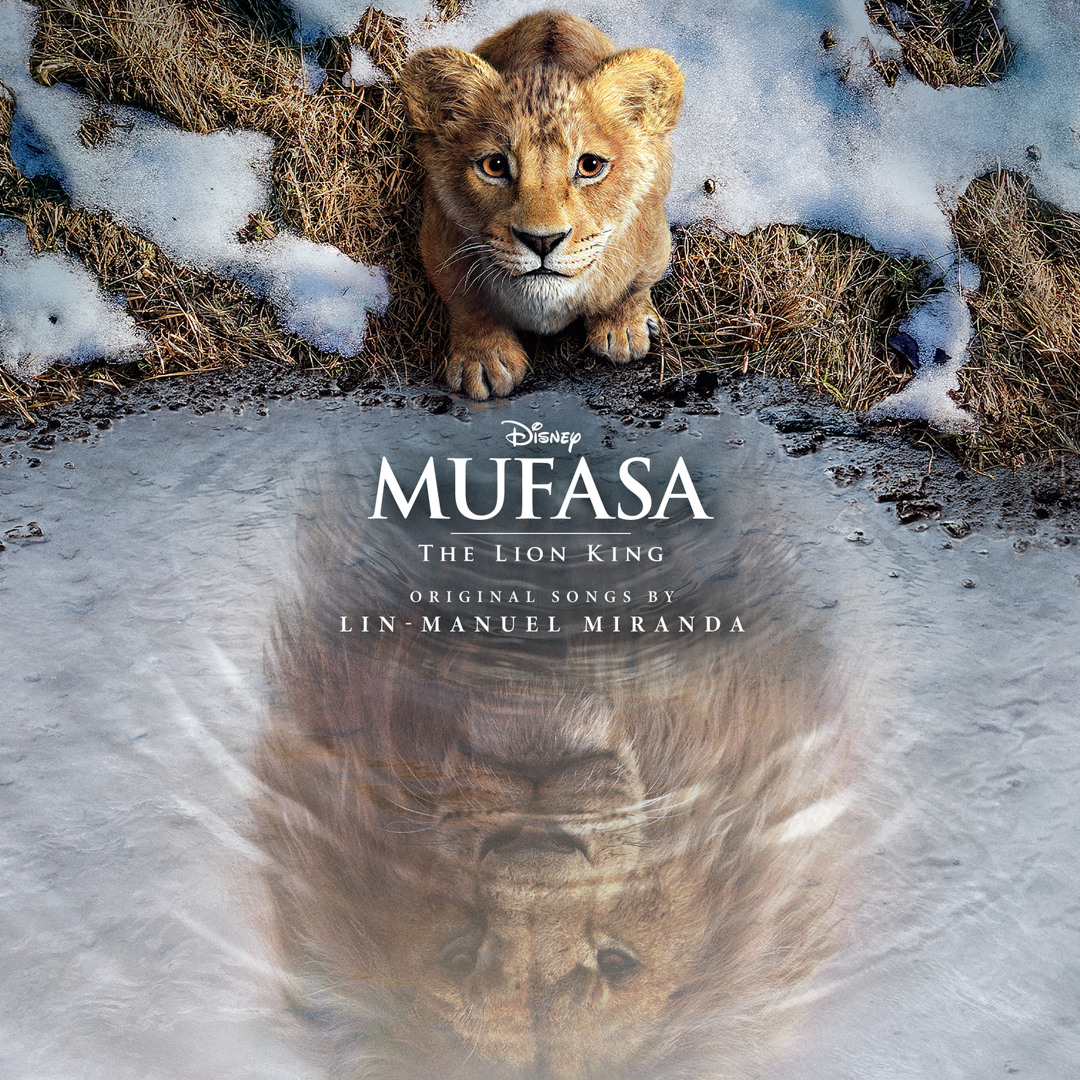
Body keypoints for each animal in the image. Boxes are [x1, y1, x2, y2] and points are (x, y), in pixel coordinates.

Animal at [400, 12, 684, 399]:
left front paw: (624, 329)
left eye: (590, 165)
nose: (542, 241)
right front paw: (483, 360)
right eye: (494, 166)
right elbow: (466, 302)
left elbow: (632, 286)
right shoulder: (438, 240)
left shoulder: (654, 239)